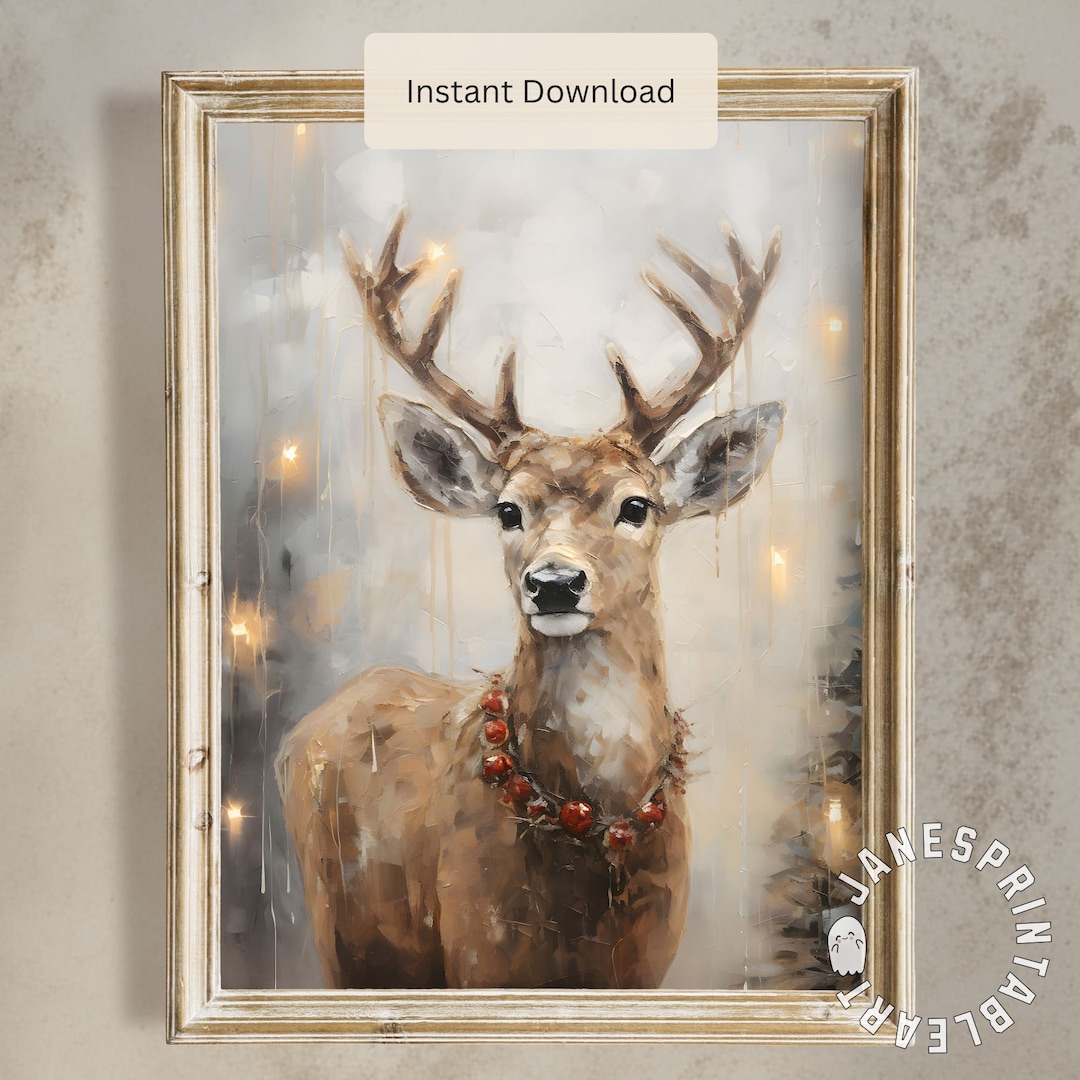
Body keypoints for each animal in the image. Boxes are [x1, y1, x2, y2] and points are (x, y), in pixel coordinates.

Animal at [276, 208, 784, 990]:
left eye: (636, 505)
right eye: (508, 511)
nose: (554, 583)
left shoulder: (647, 969)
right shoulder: (477, 950)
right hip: (343, 933)